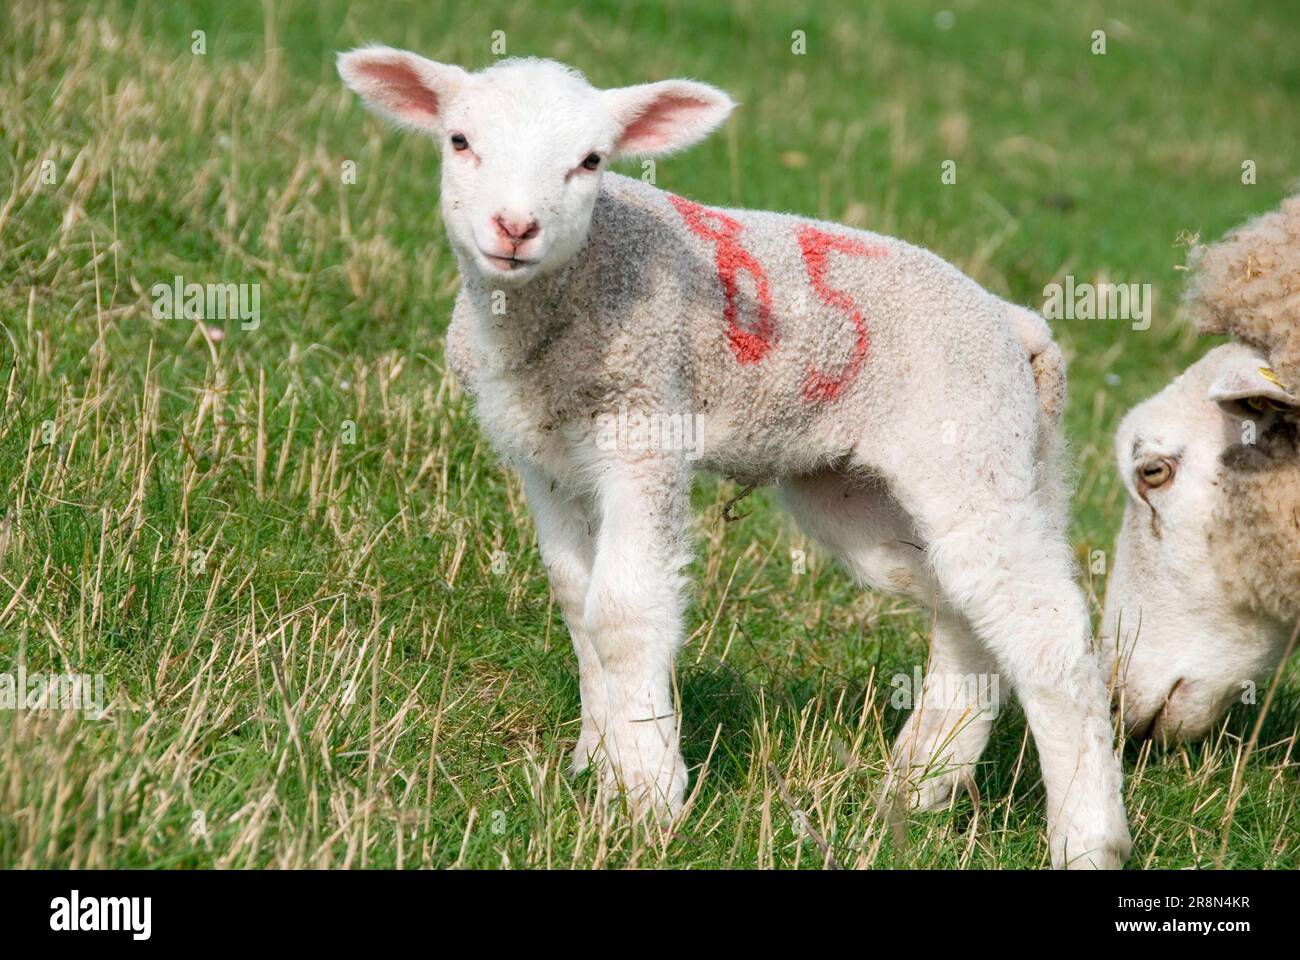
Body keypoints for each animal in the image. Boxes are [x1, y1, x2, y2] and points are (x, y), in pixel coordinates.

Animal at [339, 47, 1131, 868]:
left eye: (592, 161)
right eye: (459, 141)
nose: (515, 227)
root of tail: (1016, 325)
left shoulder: (647, 421)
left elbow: (623, 609)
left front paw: (648, 795)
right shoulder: (543, 456)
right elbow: (574, 597)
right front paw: (598, 758)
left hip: (968, 440)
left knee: (1043, 629)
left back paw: (1086, 835)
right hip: (874, 485)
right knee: (965, 606)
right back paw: (918, 785)